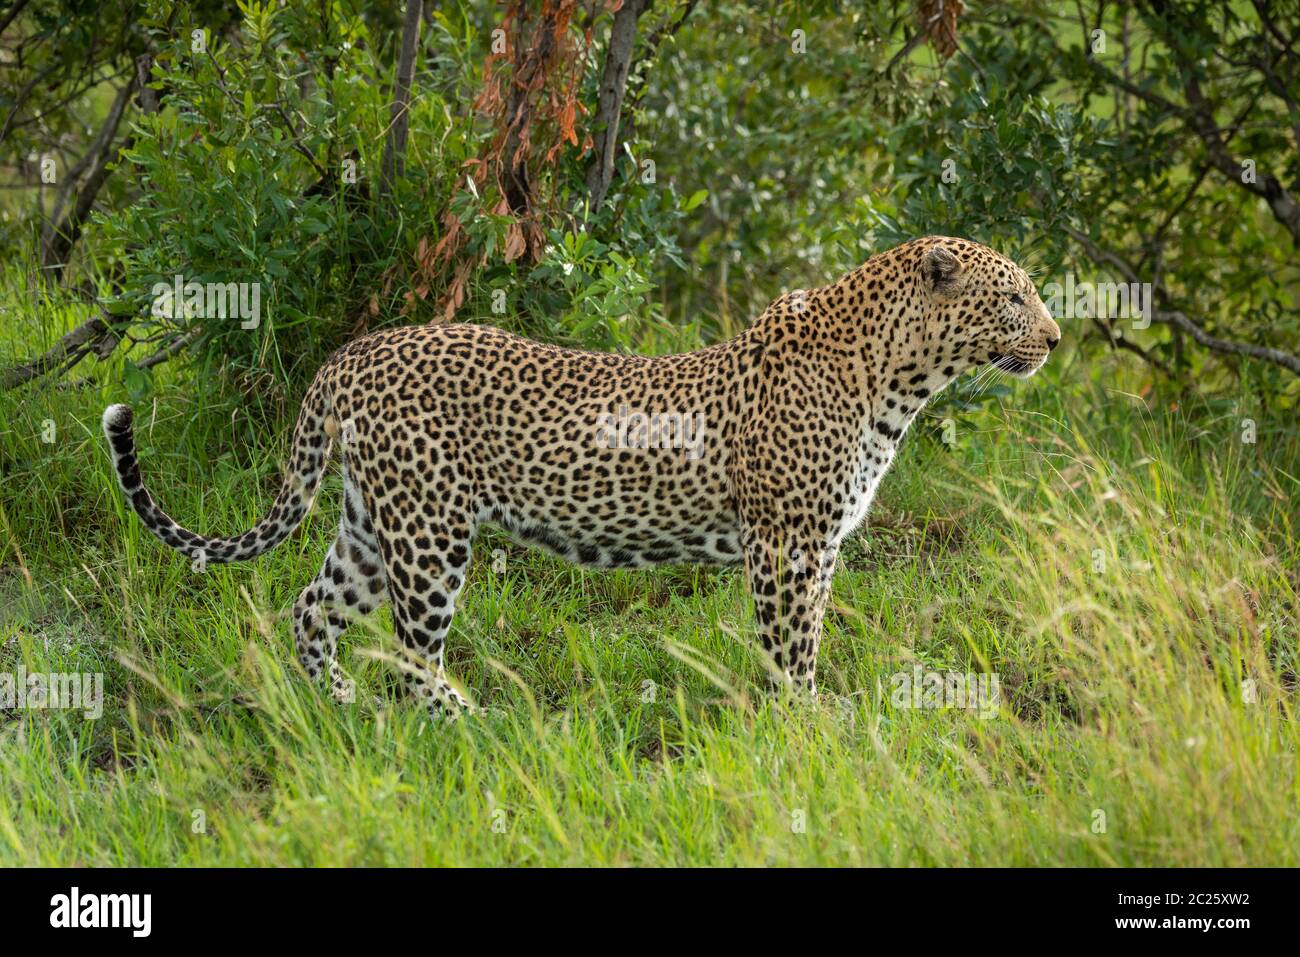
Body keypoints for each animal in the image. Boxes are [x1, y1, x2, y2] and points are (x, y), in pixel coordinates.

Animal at [102, 236, 1061, 718]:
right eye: (1013, 297)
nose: (1054, 337)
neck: (900, 378)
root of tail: (353, 353)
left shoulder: (811, 545)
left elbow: (798, 644)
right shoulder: (791, 545)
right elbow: (795, 647)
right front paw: (807, 727)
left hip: (373, 526)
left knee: (312, 607)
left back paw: (343, 706)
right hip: (430, 533)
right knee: (410, 654)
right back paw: (468, 724)